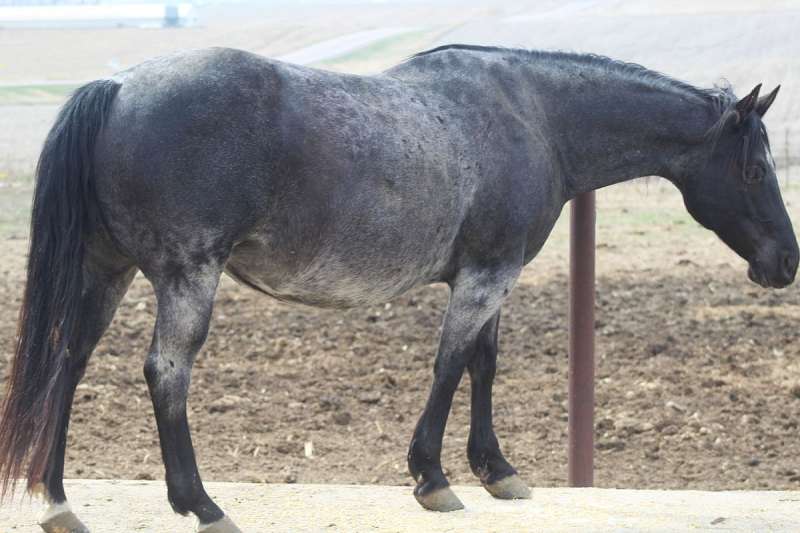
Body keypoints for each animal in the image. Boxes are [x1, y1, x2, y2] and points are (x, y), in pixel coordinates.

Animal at [0, 44, 796, 532]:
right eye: (754, 168)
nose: (785, 263)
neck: (533, 115)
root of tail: (118, 87)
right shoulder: (486, 275)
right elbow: (449, 366)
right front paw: (434, 477)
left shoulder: (494, 276)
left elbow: (483, 365)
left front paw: (497, 470)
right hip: (185, 277)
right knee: (166, 374)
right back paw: (201, 504)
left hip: (106, 271)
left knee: (66, 364)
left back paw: (58, 501)